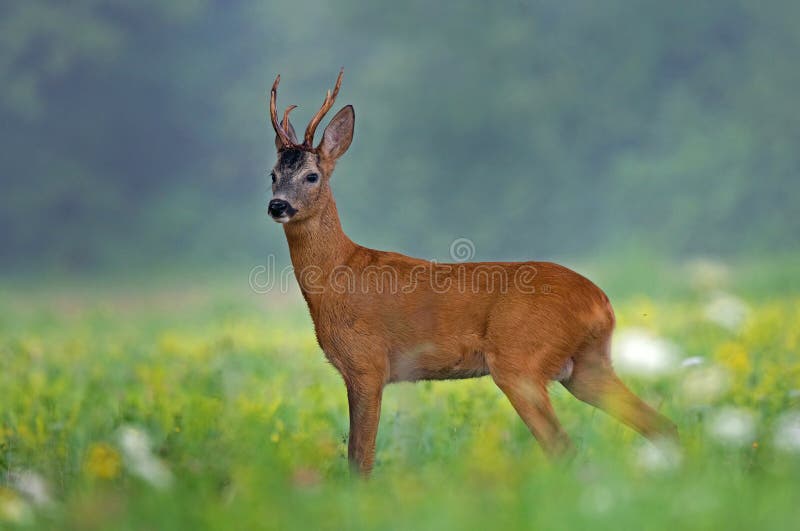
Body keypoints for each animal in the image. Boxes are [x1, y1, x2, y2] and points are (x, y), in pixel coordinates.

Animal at [265, 69, 677, 476]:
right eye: (272, 174)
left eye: (312, 176)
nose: (277, 205)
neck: (340, 273)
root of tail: (601, 301)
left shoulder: (367, 364)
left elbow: (360, 459)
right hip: (587, 366)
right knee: (661, 425)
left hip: (520, 360)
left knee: (564, 446)